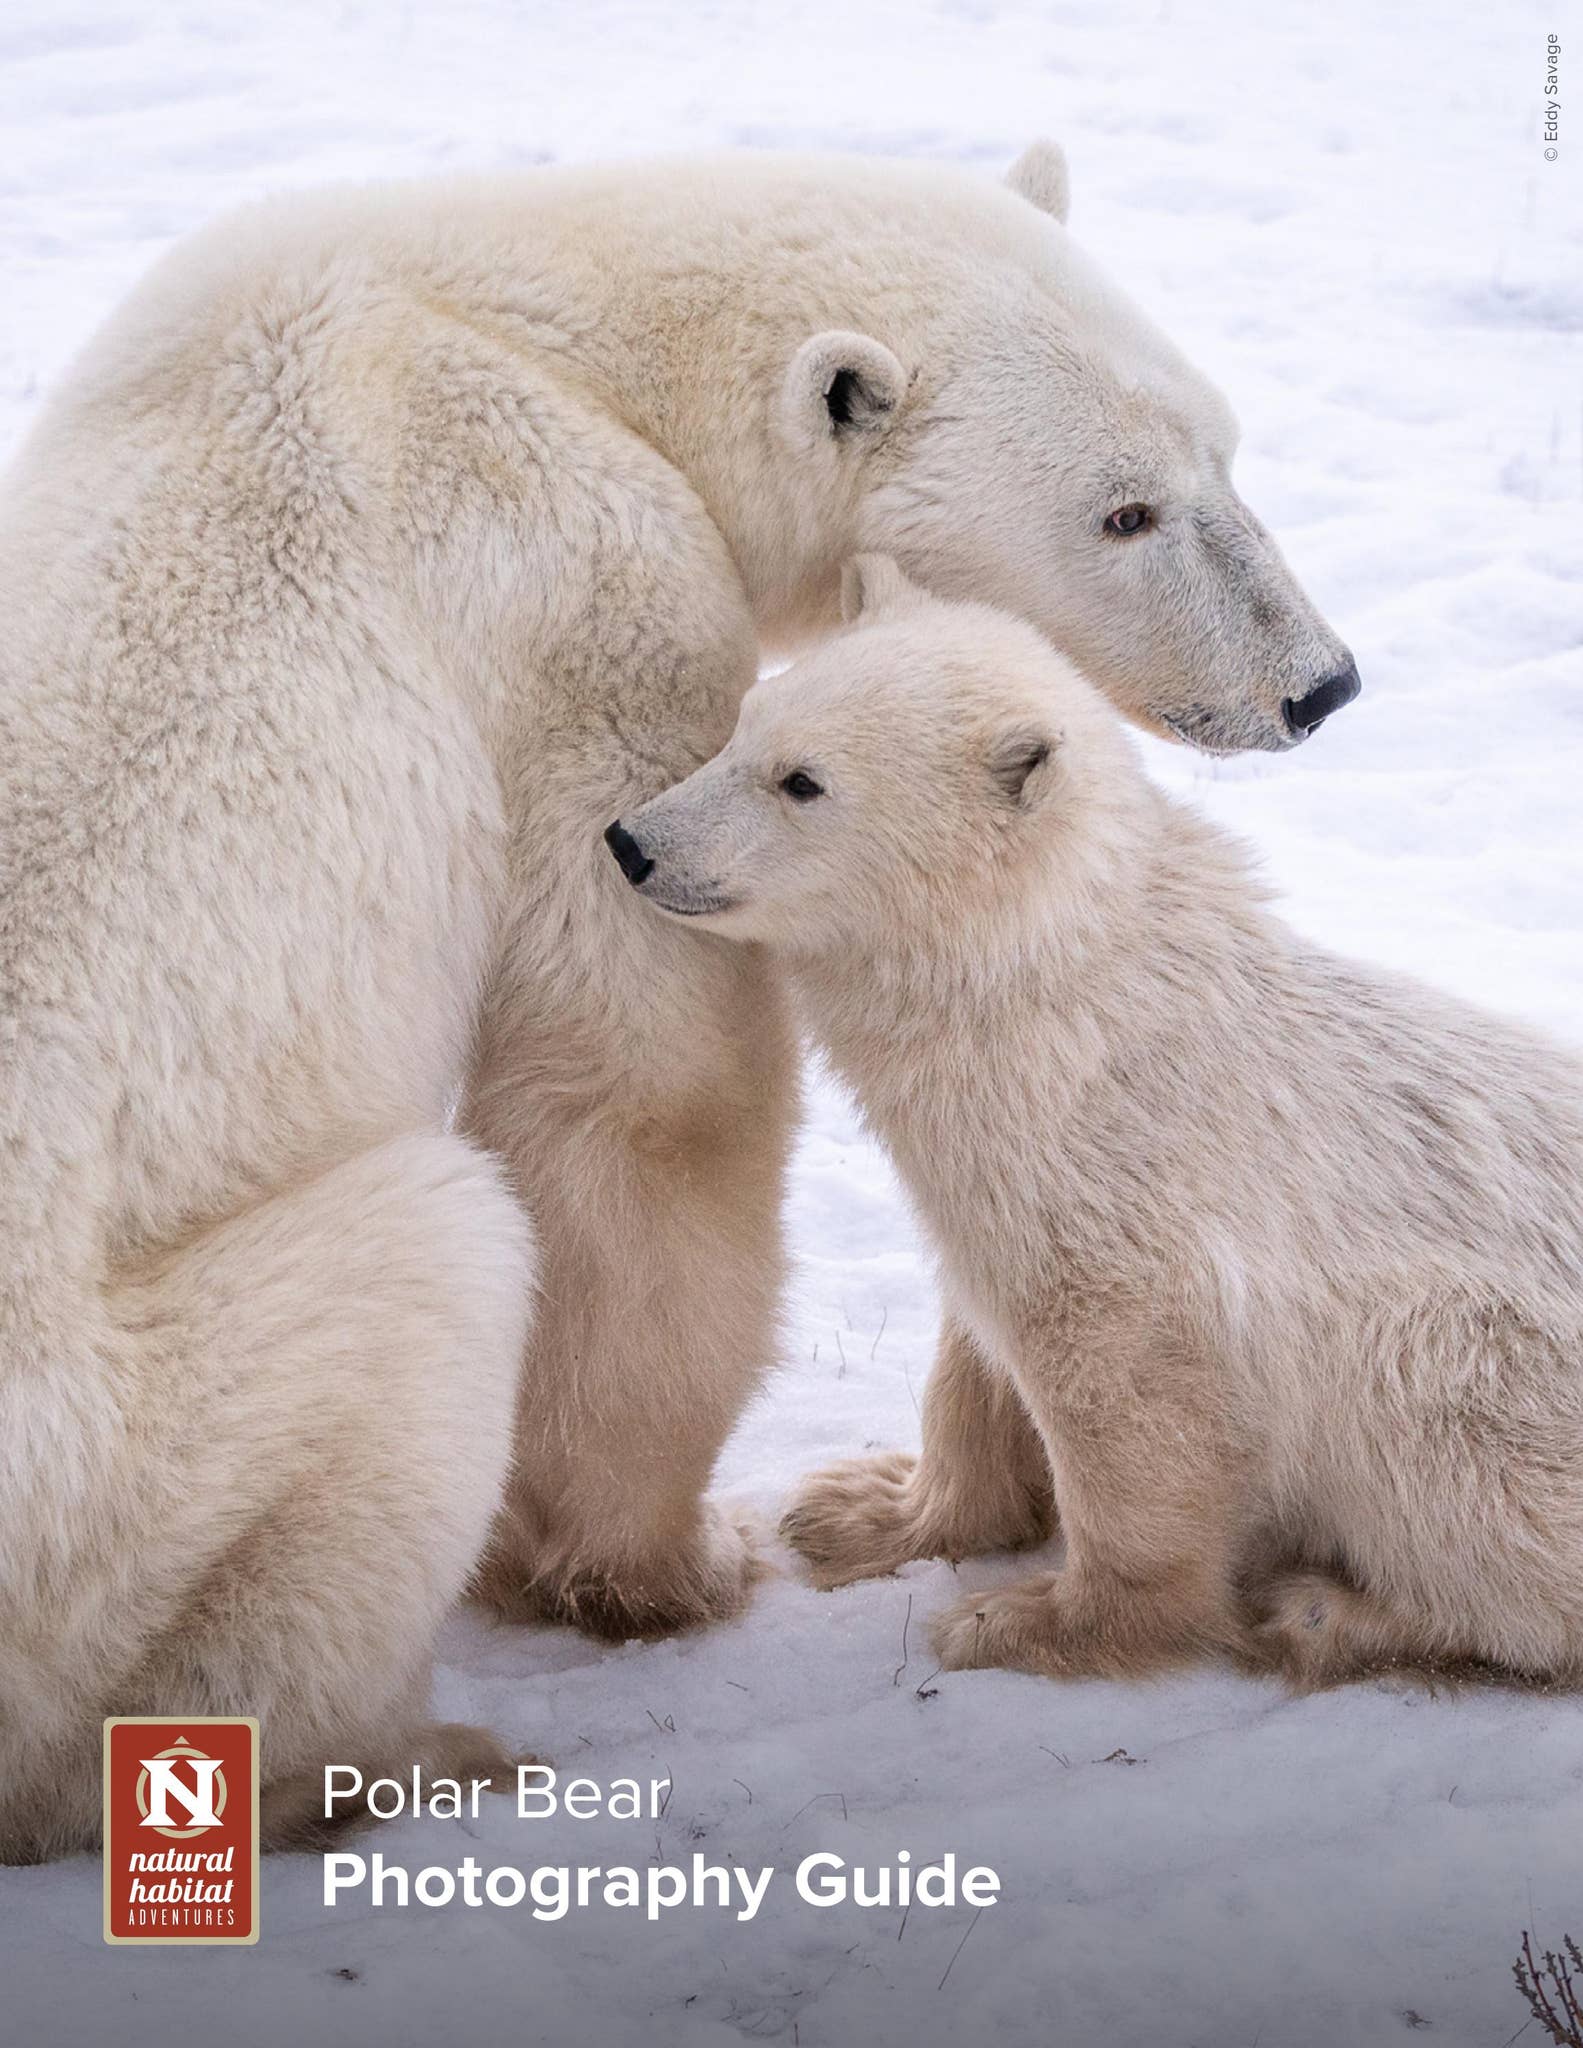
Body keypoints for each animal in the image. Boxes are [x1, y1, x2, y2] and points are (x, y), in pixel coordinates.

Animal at [0, 145, 1355, 1855]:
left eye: (1220, 452)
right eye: (1121, 511)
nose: (1318, 683)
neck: (538, 318)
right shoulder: (582, 574)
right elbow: (638, 1087)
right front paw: (659, 1564)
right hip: (116, 1457)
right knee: (428, 1259)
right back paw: (381, 1754)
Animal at [607, 556, 1583, 1689]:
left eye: (801, 780)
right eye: (744, 721)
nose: (629, 843)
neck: (1058, 995)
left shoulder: (1121, 1189)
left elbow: (1129, 1396)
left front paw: (1031, 1619)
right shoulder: (994, 1173)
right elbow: (973, 1348)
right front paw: (862, 1509)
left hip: (1484, 1358)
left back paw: (1325, 1613)